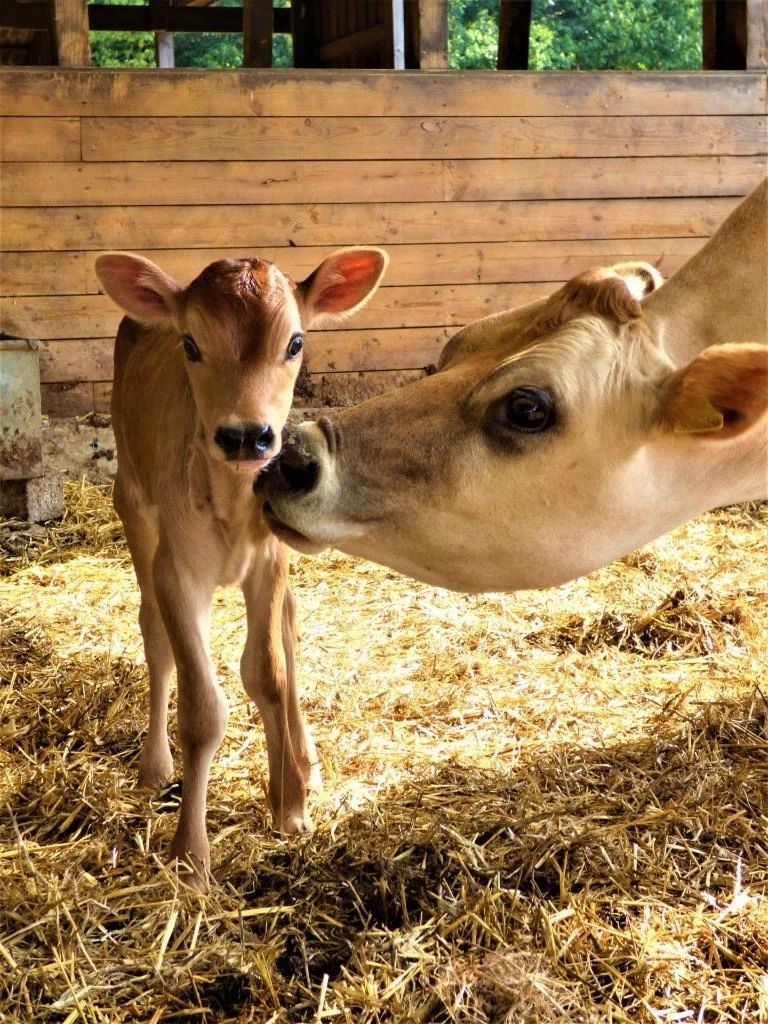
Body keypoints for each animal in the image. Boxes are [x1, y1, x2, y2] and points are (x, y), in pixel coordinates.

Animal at [95, 246, 388, 885]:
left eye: (296, 342)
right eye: (190, 344)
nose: (246, 436)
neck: (230, 500)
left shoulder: (270, 561)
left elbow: (269, 673)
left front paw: (290, 803)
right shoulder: (178, 573)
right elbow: (203, 709)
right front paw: (191, 854)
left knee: (290, 629)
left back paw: (306, 758)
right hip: (133, 501)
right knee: (152, 631)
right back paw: (155, 766)